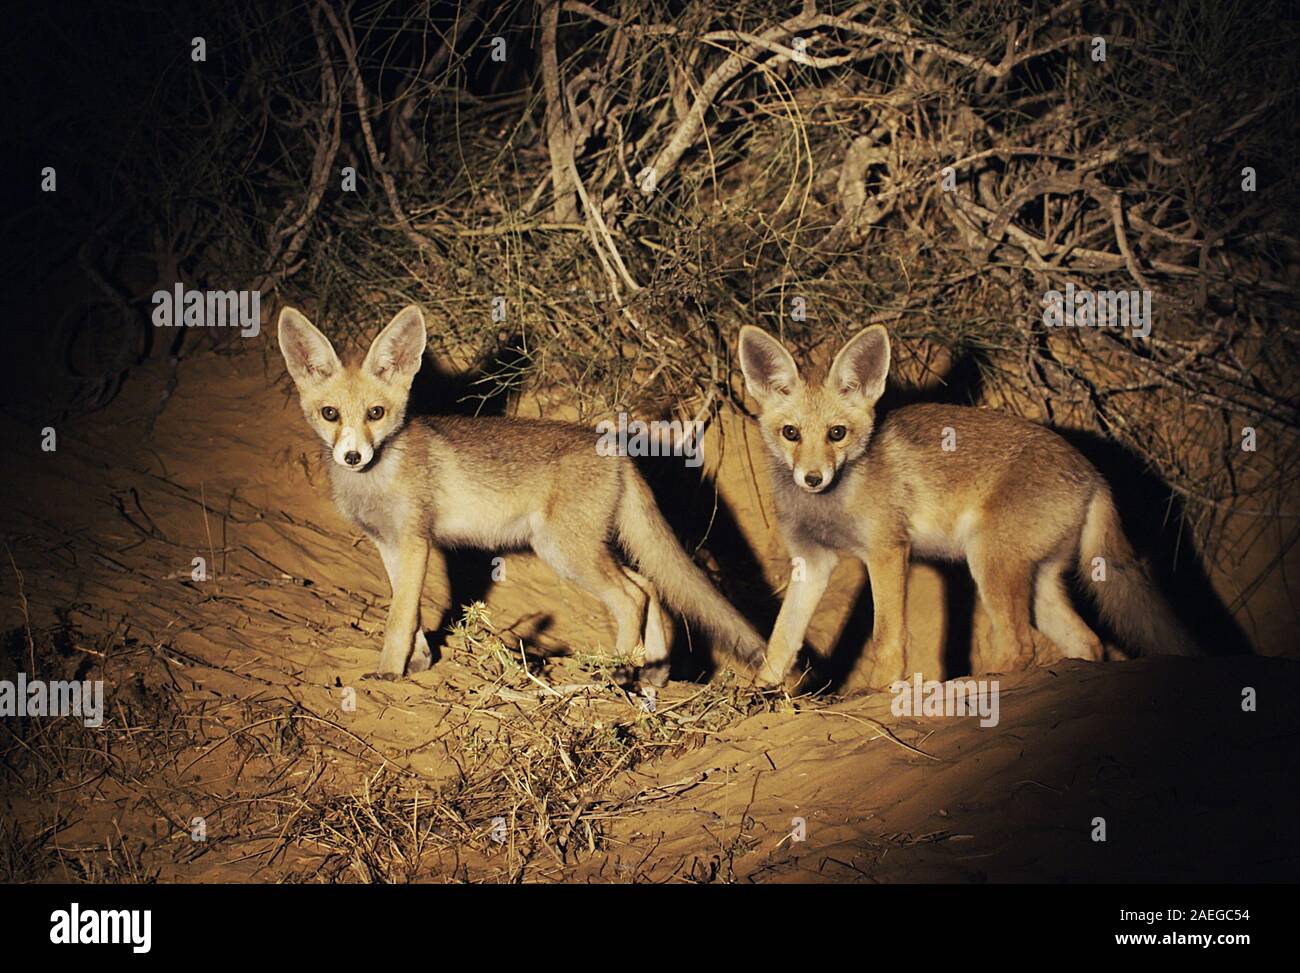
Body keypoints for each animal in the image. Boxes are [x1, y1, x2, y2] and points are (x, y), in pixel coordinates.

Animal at [277, 303, 766, 684]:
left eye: (376, 413)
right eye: (330, 414)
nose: (352, 456)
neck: (377, 478)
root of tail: (617, 448)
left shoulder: (415, 541)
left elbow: (400, 618)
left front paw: (388, 675)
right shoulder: (388, 544)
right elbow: (407, 610)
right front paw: (418, 663)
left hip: (564, 551)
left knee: (632, 597)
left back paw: (618, 670)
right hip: (584, 549)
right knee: (648, 586)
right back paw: (653, 671)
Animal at [737, 324, 1196, 688]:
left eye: (837, 433)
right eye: (791, 433)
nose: (813, 479)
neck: (829, 507)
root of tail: (1095, 473)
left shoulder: (888, 551)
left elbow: (887, 637)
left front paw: (877, 691)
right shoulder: (811, 562)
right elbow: (782, 638)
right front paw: (760, 694)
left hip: (989, 560)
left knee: (1020, 645)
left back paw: (978, 684)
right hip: (1038, 584)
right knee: (1087, 640)